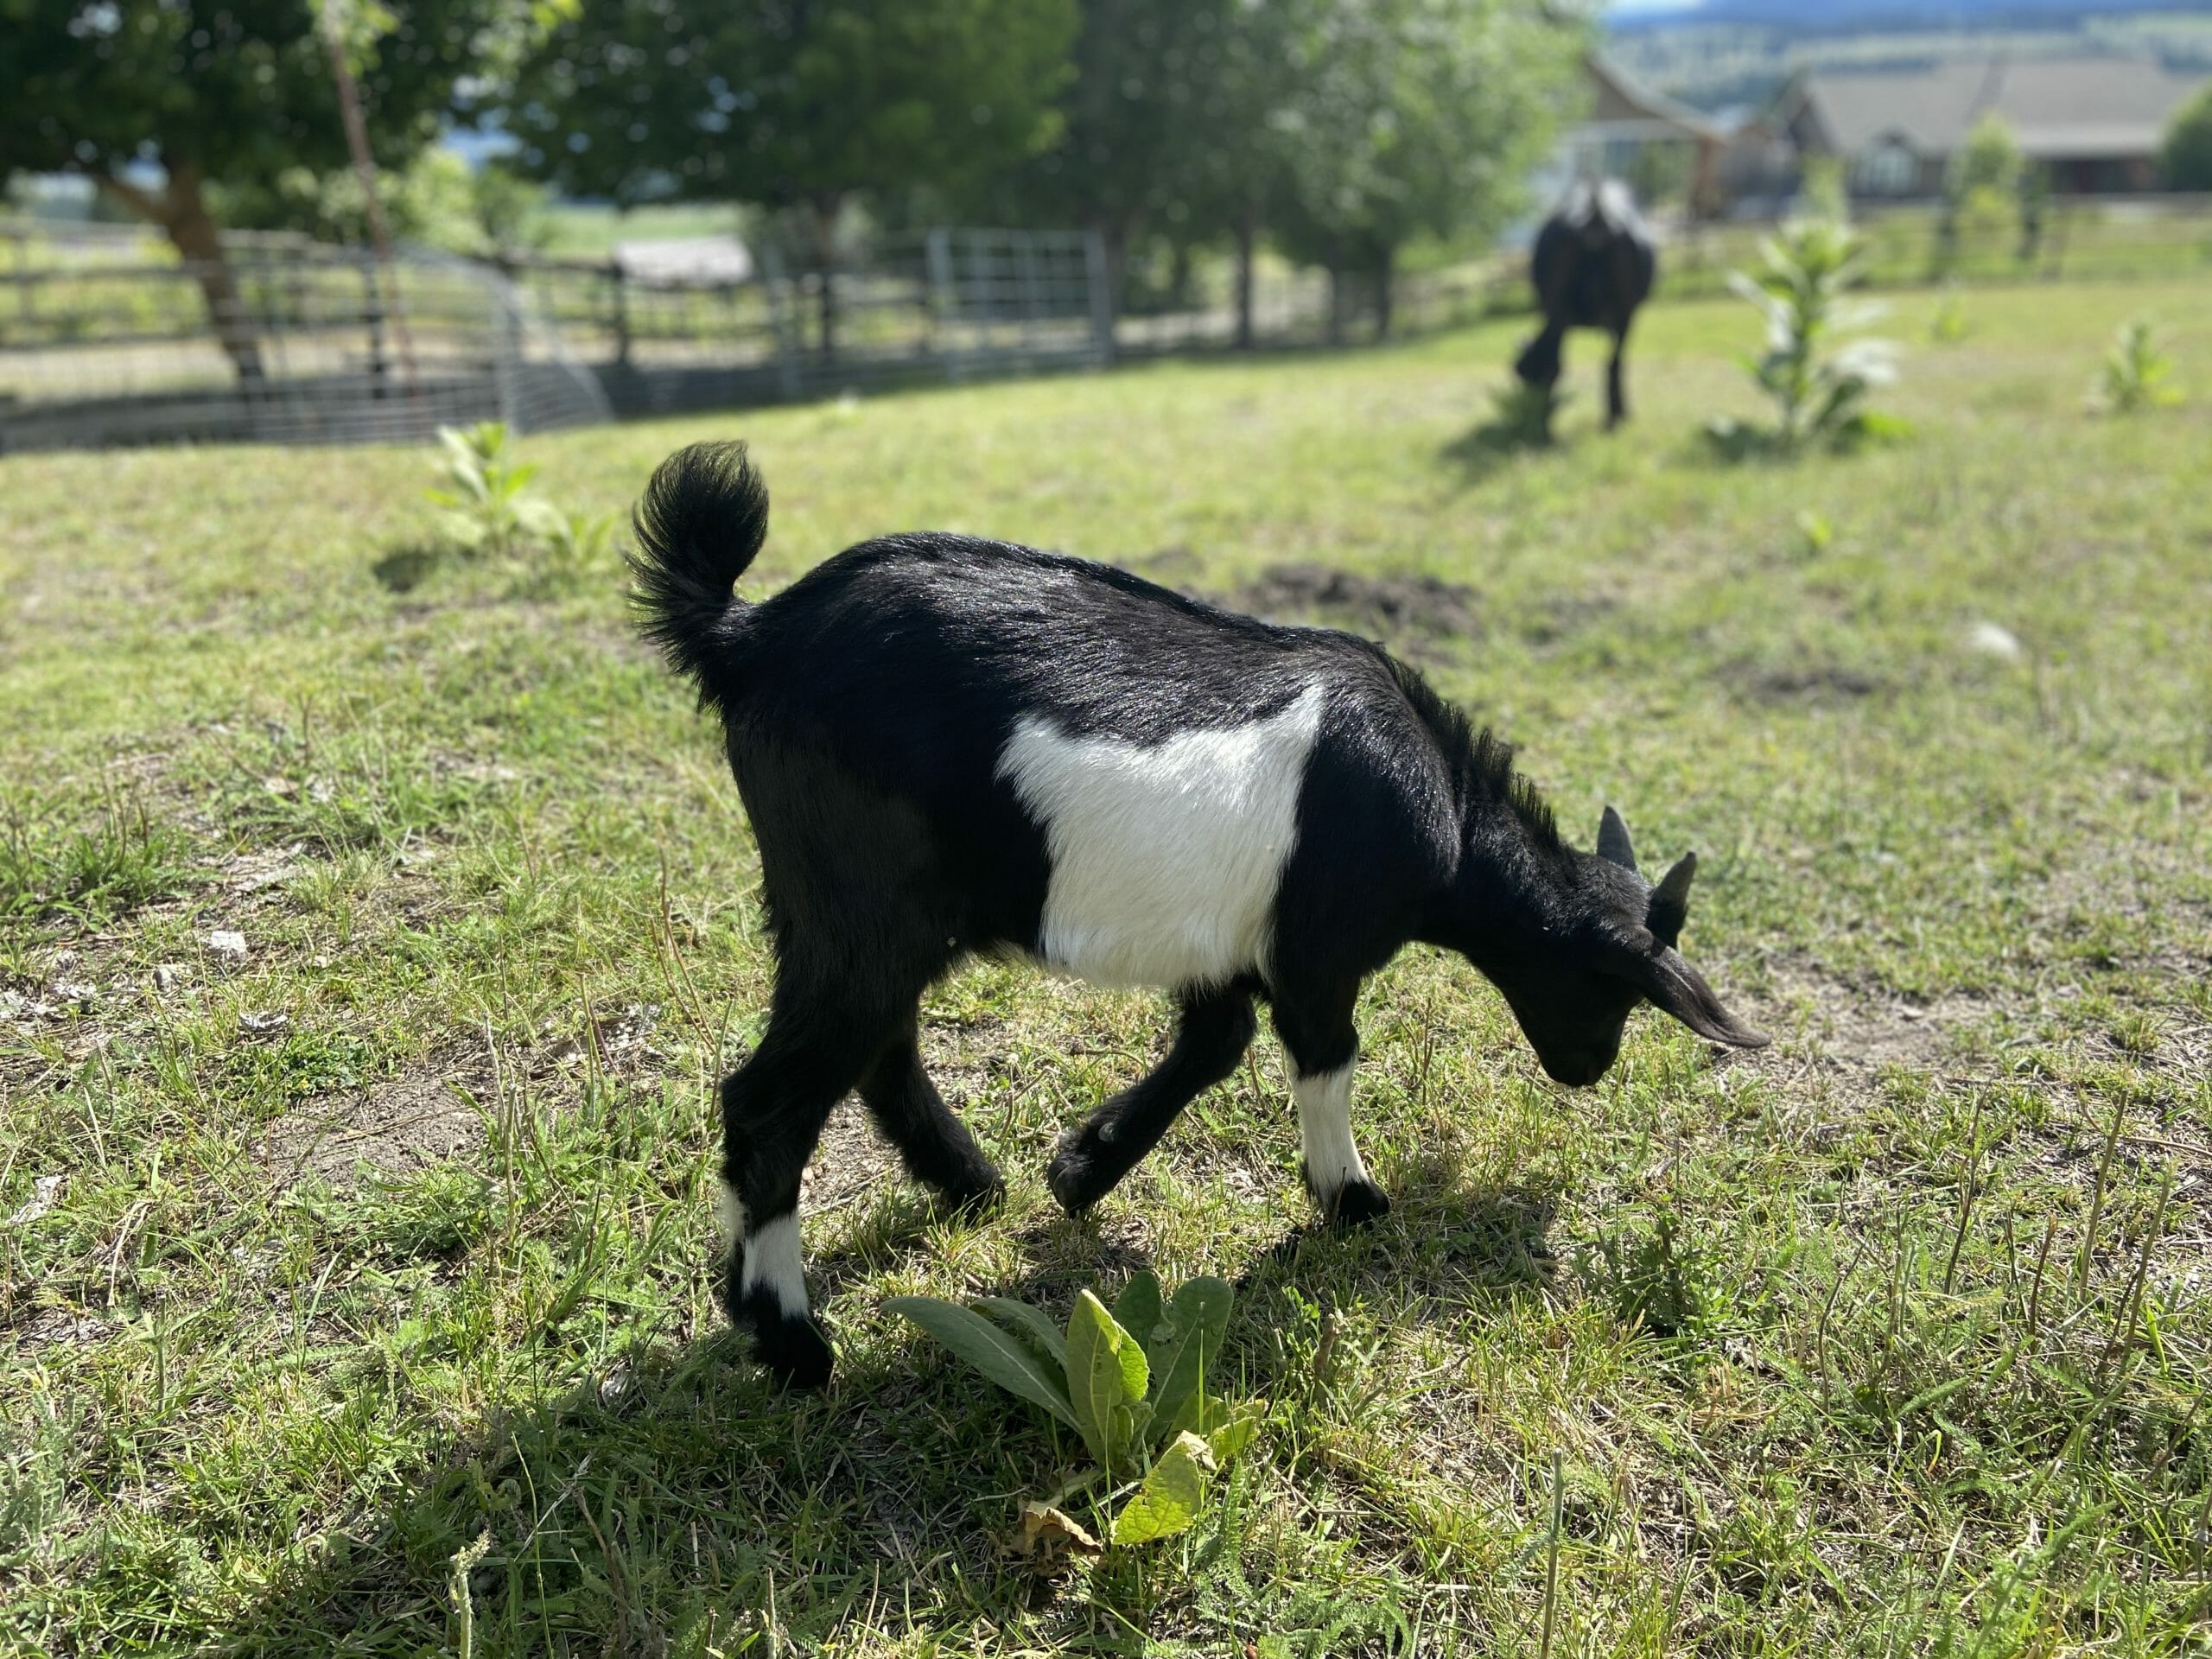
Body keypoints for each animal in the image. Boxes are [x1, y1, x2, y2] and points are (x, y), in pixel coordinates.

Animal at [631, 442, 1767, 1386]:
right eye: (1611, 989)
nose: (1589, 1071)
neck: (1438, 813)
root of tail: (749, 632)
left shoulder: (1226, 942)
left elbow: (1214, 1042)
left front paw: (1080, 1170)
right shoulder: (1318, 948)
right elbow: (1324, 1056)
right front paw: (1351, 1202)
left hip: (858, 915)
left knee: (878, 1044)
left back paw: (970, 1182)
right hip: (859, 899)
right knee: (774, 1100)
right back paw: (790, 1342)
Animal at [1515, 179, 1657, 431]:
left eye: (1524, 372)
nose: (1526, 404)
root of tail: (1595, 217)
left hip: (1564, 310)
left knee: (1564, 365)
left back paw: (1545, 425)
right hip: (1623, 312)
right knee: (1612, 363)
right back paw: (1614, 416)